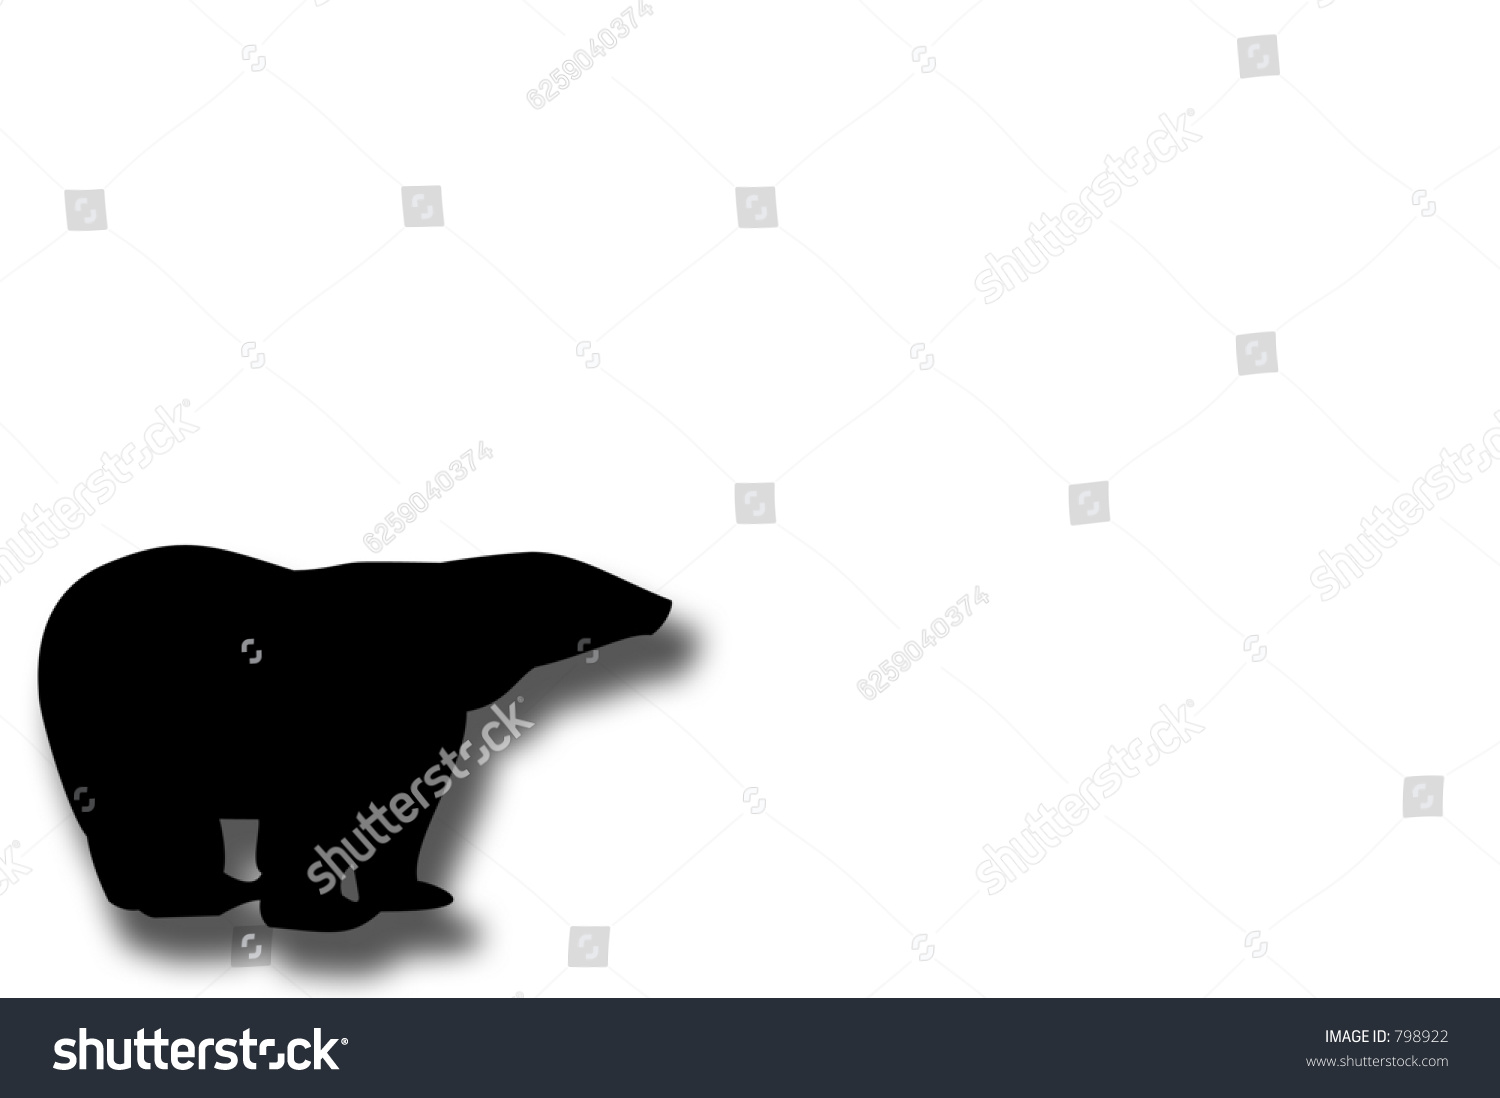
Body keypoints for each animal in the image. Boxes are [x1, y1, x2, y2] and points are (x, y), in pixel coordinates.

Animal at [37, 545, 671, 931]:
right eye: (594, 582)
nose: (661, 601)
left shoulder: (423, 716)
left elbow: (408, 798)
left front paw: (413, 893)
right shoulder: (330, 709)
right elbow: (310, 809)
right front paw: (324, 913)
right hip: (119, 724)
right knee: (154, 816)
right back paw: (195, 897)